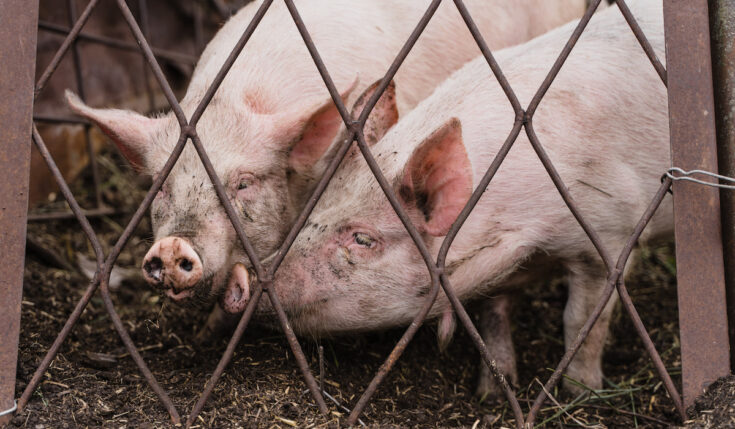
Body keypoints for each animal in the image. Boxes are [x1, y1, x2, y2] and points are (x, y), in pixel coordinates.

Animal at [254, 0, 670, 398]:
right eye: (317, 206)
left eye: (362, 238)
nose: (250, 281)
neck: (531, 236)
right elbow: (494, 309)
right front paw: (493, 392)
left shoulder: (611, 233)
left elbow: (583, 321)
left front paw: (582, 391)